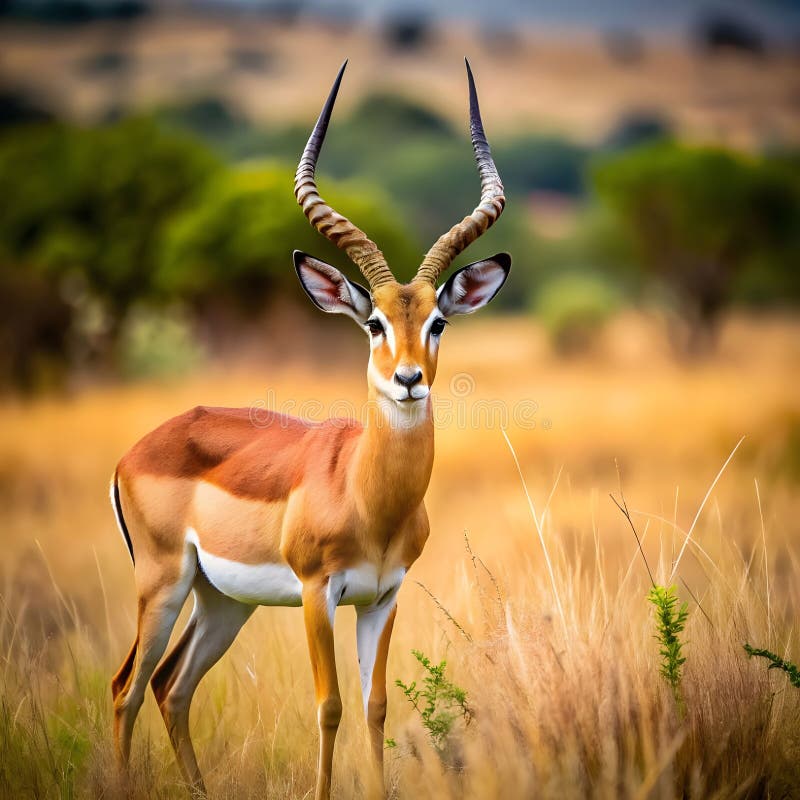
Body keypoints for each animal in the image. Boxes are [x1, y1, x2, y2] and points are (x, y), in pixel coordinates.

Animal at [110, 59, 510, 800]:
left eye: (438, 321)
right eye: (373, 322)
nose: (409, 378)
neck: (367, 494)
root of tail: (137, 451)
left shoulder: (384, 597)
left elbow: (376, 705)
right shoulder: (317, 595)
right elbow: (329, 706)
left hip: (220, 601)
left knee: (170, 686)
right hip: (163, 584)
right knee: (126, 686)